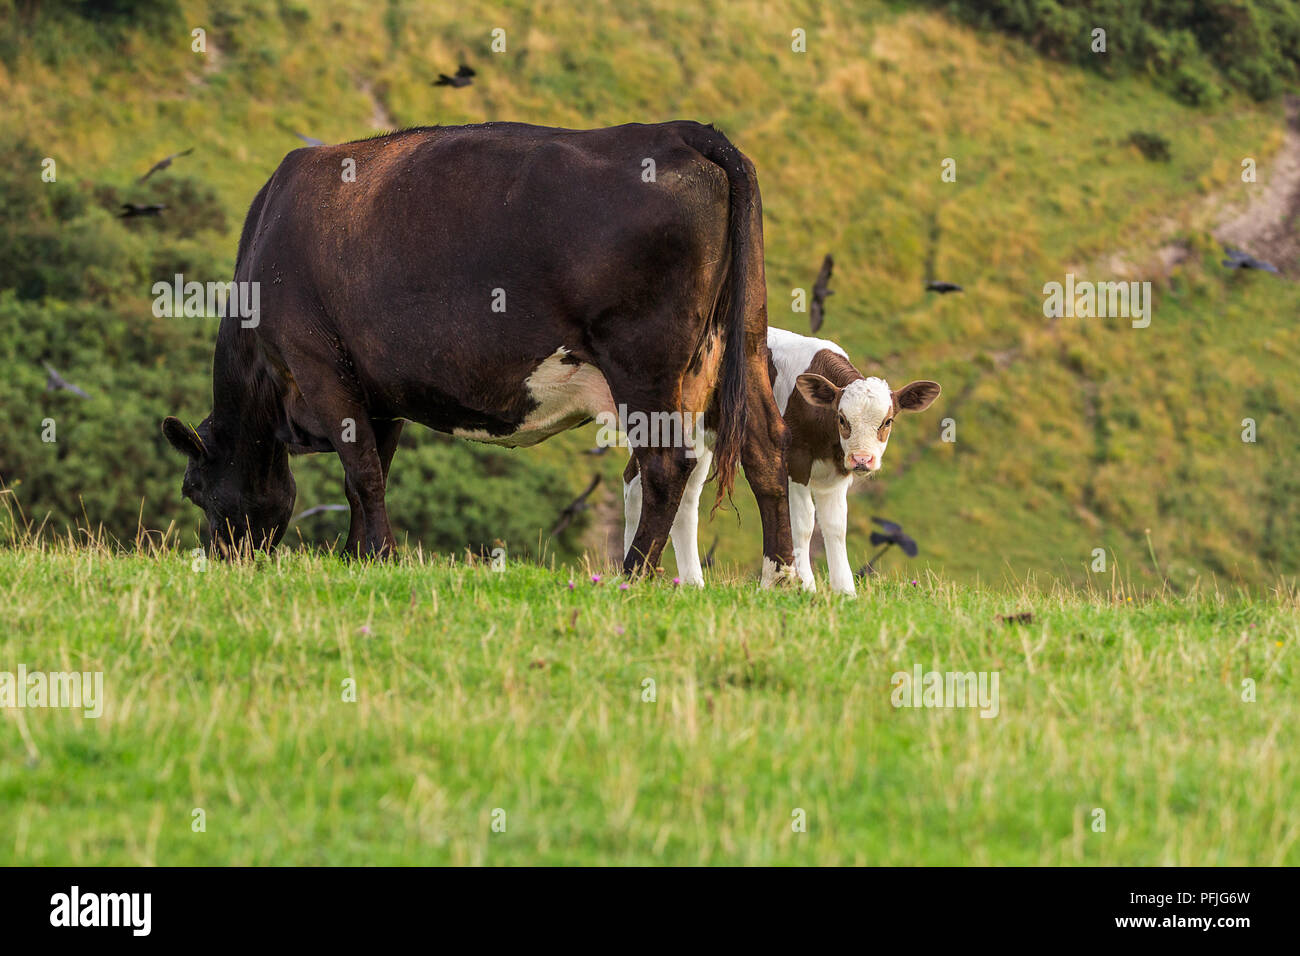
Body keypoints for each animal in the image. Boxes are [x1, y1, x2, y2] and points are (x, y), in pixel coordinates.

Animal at [160, 121, 795, 581]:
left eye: (193, 489)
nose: (221, 557)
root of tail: (681, 130)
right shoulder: (378, 389)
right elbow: (369, 471)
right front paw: (358, 556)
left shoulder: (318, 364)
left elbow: (361, 471)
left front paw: (379, 557)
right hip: (744, 341)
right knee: (766, 446)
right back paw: (782, 578)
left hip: (645, 363)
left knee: (666, 465)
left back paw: (633, 574)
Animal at [624, 327, 940, 594]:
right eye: (842, 419)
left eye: (887, 421)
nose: (862, 459)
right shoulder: (795, 462)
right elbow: (803, 523)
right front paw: (808, 585)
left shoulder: (837, 472)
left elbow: (836, 526)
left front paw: (845, 591)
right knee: (638, 482)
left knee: (684, 496)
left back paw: (689, 581)